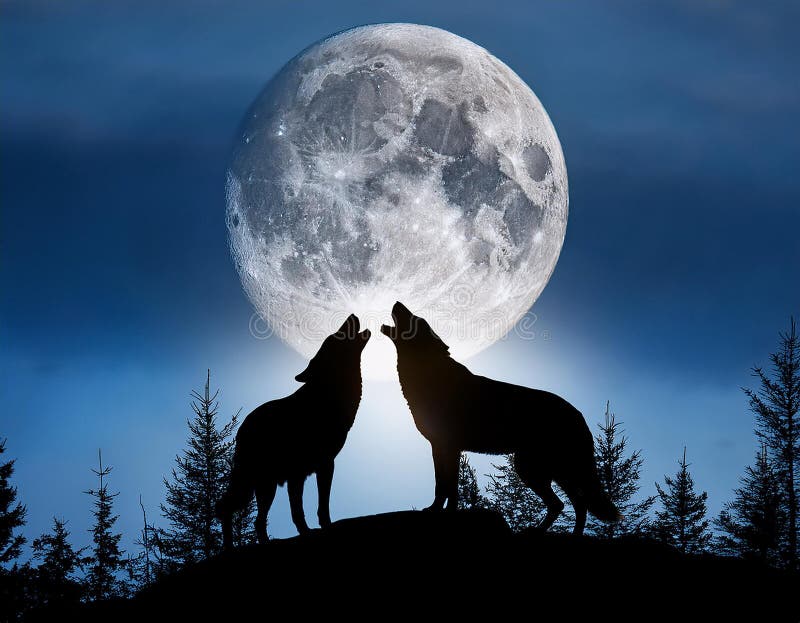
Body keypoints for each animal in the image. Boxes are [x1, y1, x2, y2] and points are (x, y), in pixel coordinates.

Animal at [216, 314, 370, 549]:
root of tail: (243, 427)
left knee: (257, 521)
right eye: (335, 336)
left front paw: (311, 531)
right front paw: (317, 530)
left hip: (265, 487)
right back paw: (229, 548)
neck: (328, 396)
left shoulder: (311, 470)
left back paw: (263, 543)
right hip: (254, 483)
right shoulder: (312, 469)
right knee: (226, 507)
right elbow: (309, 508)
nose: (351, 316)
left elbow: (307, 508)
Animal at [381, 302, 619, 535]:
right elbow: (445, 486)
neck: (429, 375)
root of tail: (578, 414)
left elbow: (447, 487)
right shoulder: (442, 447)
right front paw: (439, 510)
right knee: (571, 503)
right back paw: (544, 531)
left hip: (534, 469)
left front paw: (445, 512)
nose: (397, 302)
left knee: (570, 503)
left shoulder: (448, 447)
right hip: (547, 470)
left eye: (417, 319)